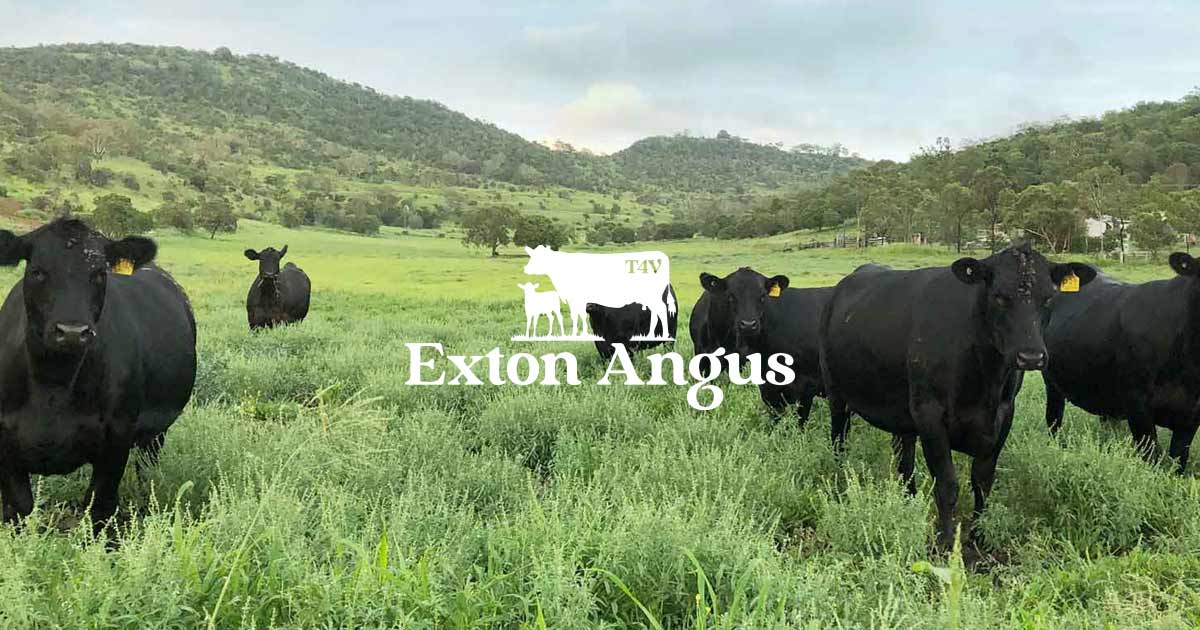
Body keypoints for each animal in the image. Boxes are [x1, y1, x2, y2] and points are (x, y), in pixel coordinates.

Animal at [0, 218, 197, 534]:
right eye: (37, 271)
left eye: (100, 274)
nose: (72, 331)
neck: (52, 386)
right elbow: (19, 510)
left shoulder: (117, 439)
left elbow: (99, 510)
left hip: (154, 435)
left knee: (146, 473)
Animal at [819, 243, 1095, 547]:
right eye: (999, 297)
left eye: (1049, 298)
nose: (1031, 356)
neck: (985, 379)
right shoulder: (929, 414)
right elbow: (947, 483)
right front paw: (945, 541)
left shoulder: (1004, 413)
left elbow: (983, 480)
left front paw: (979, 536)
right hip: (837, 395)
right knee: (839, 441)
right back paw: (841, 482)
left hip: (902, 410)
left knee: (904, 458)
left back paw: (909, 500)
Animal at [1043, 252, 1200, 474]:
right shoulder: (1137, 403)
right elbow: (1150, 455)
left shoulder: (1192, 414)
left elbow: (1178, 460)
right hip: (1052, 382)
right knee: (1053, 419)